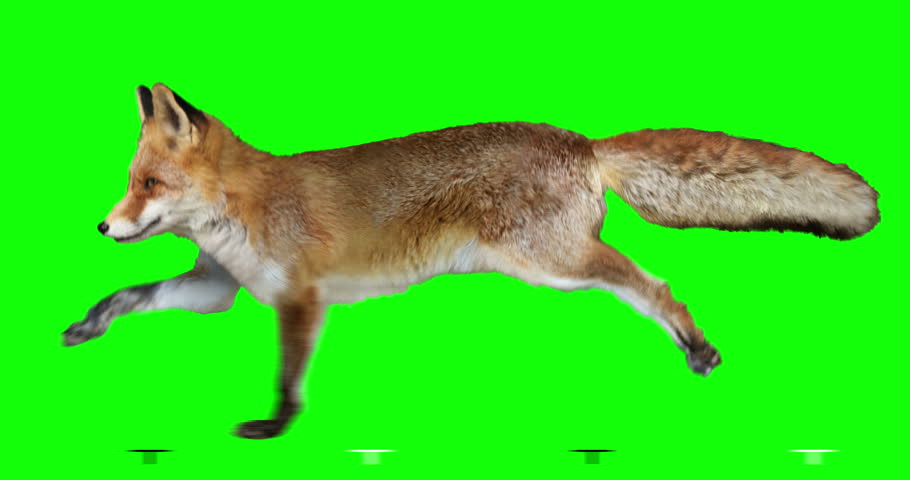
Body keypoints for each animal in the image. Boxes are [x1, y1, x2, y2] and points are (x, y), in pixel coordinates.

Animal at [64, 83, 879, 439]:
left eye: (148, 185)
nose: (104, 225)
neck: (242, 215)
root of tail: (584, 142)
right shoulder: (218, 289)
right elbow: (131, 295)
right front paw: (87, 324)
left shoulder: (302, 297)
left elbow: (288, 377)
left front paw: (276, 427)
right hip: (549, 261)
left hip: (550, 260)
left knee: (652, 283)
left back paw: (696, 343)